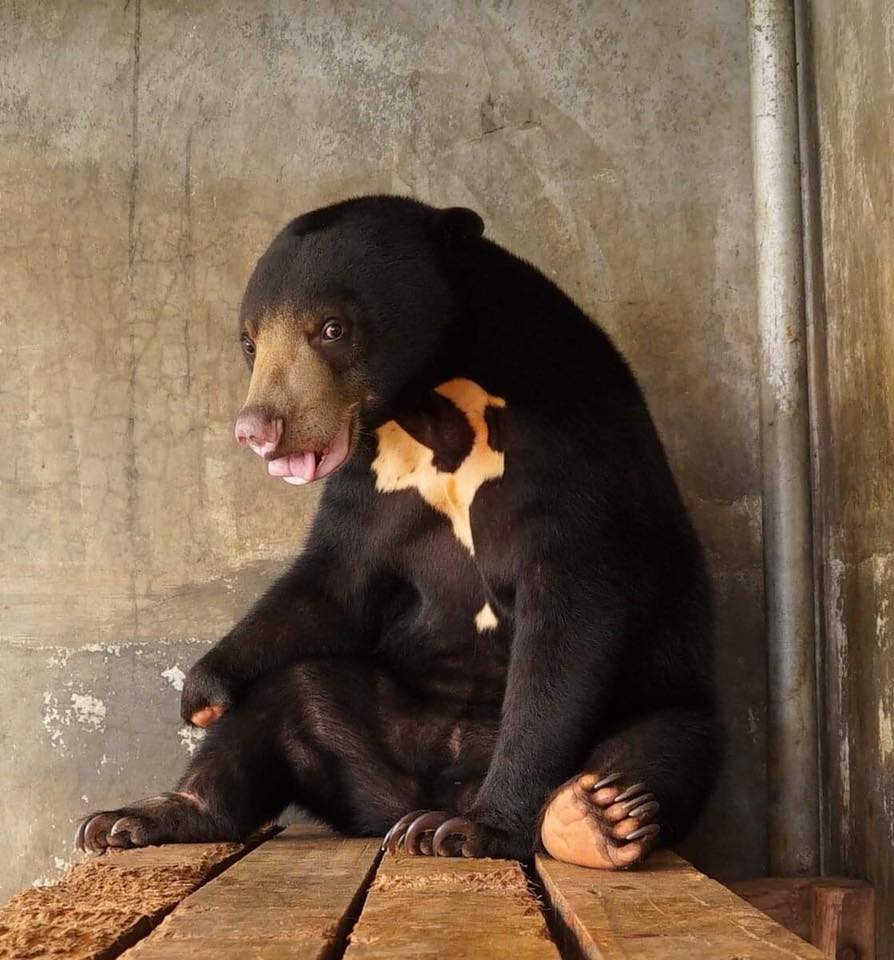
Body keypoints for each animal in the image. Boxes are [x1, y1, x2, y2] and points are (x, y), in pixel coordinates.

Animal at [76, 196, 719, 869]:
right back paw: (144, 815)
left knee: (653, 750)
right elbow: (332, 582)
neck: (440, 406)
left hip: (664, 703)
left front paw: (480, 829)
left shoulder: (572, 451)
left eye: (331, 329)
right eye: (250, 342)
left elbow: (570, 618)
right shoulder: (372, 480)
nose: (257, 429)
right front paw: (201, 691)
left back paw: (587, 816)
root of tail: (420, 796)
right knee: (284, 695)